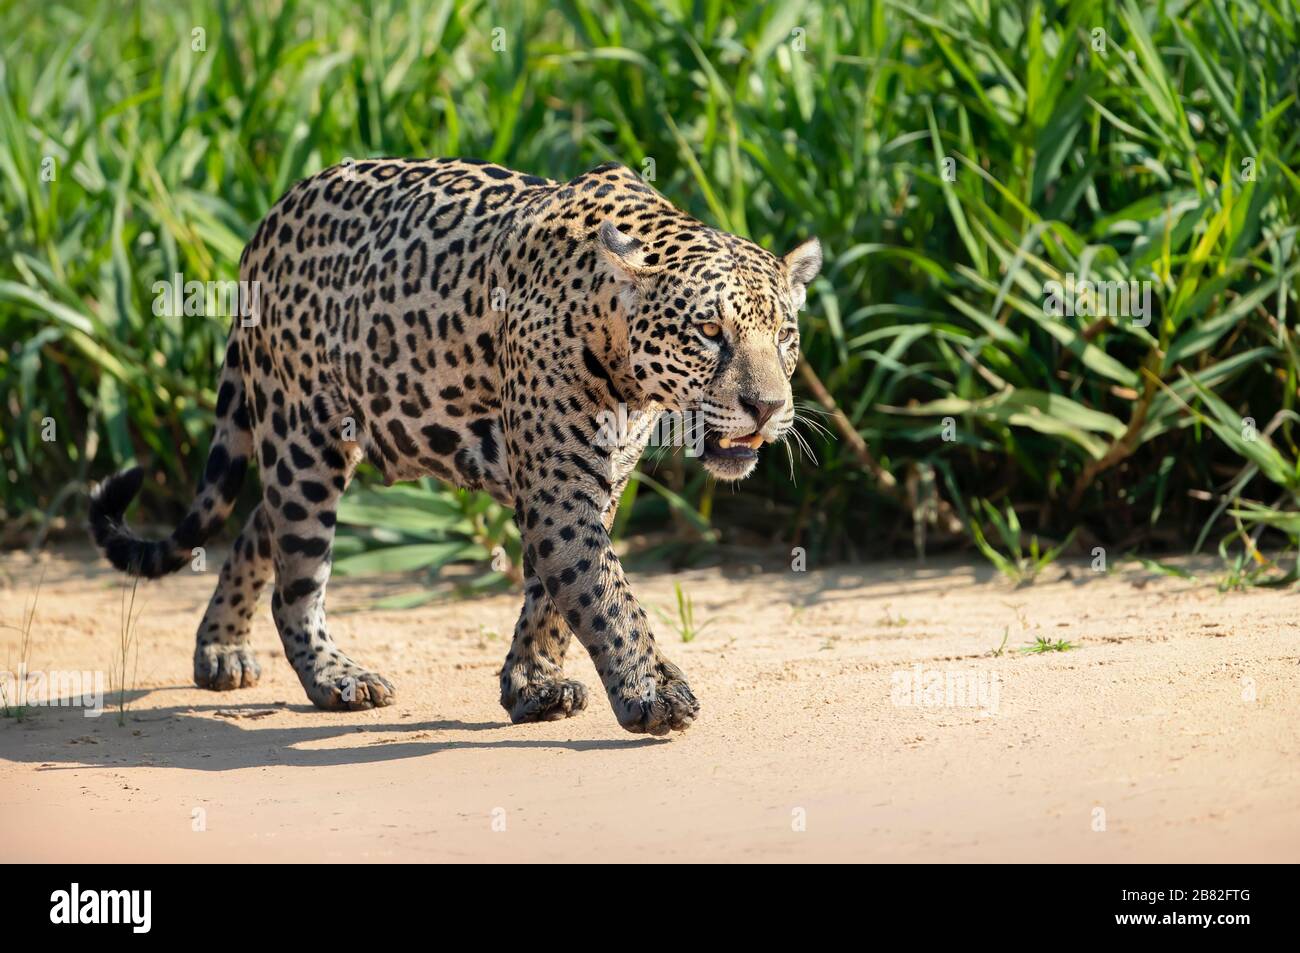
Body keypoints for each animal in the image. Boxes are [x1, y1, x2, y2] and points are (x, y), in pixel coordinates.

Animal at [88, 158, 822, 735]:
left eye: (785, 335)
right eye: (708, 331)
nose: (768, 407)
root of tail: (268, 218)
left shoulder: (596, 481)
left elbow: (555, 598)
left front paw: (531, 684)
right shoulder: (560, 489)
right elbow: (607, 595)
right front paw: (654, 693)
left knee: (255, 526)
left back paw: (220, 651)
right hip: (305, 438)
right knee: (294, 577)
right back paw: (335, 679)